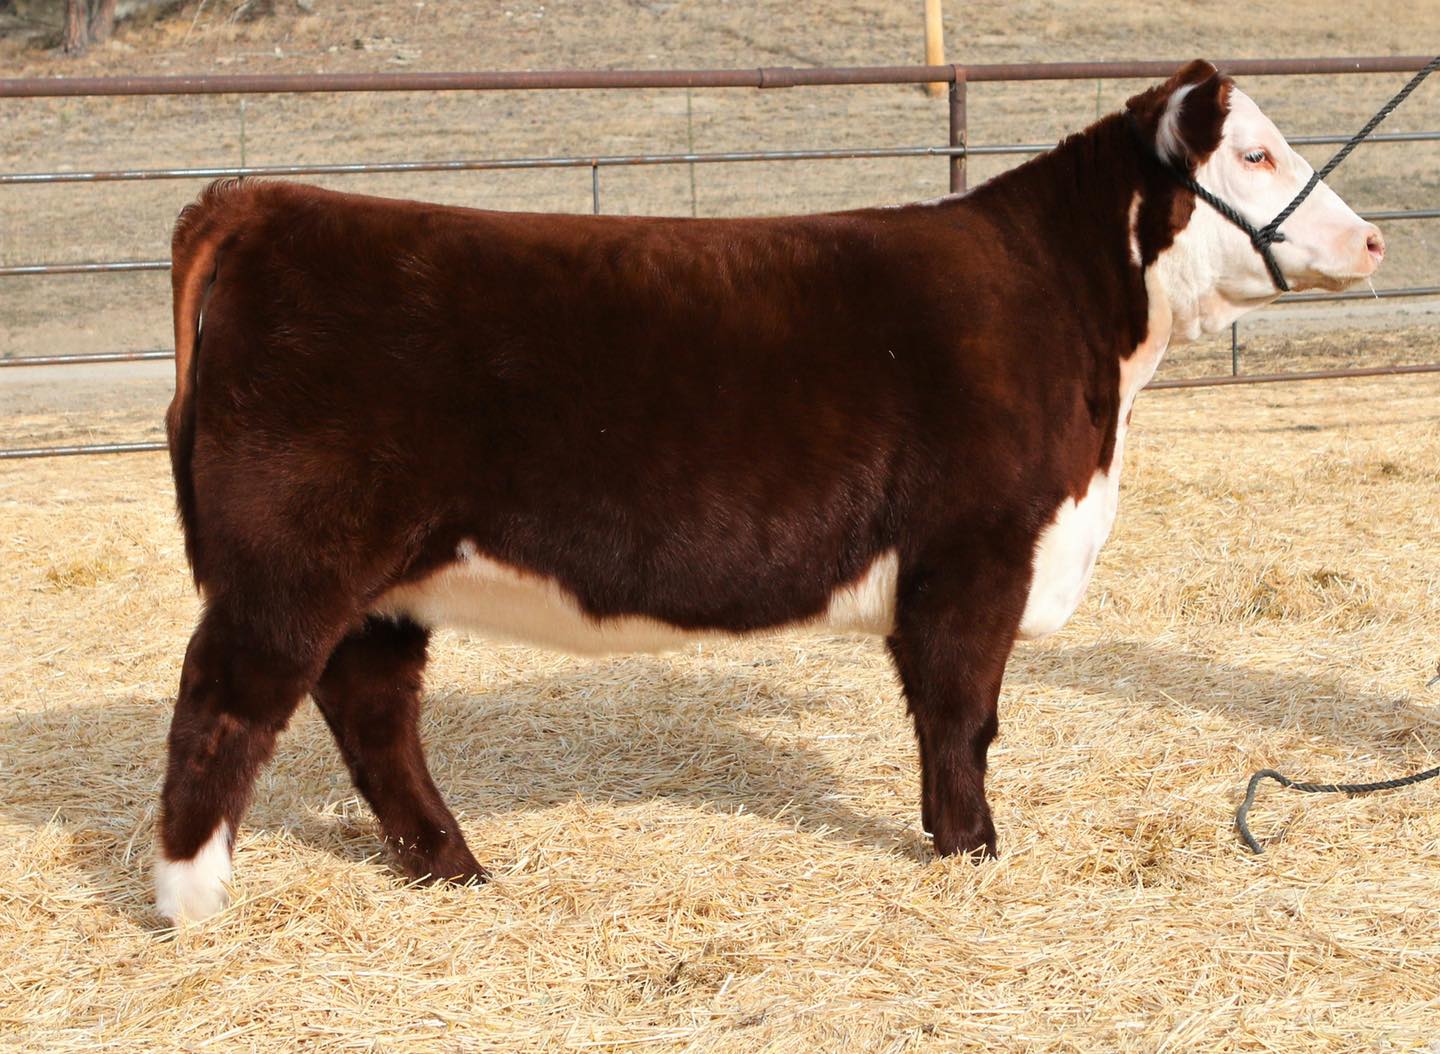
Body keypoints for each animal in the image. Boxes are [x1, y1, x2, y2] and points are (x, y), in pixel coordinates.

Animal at [155, 60, 1384, 923]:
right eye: (1258, 155)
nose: (1372, 238)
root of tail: (260, 206)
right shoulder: (974, 552)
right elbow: (962, 714)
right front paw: (973, 851)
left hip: (381, 584)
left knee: (371, 713)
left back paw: (452, 867)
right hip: (291, 561)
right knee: (225, 704)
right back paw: (190, 900)